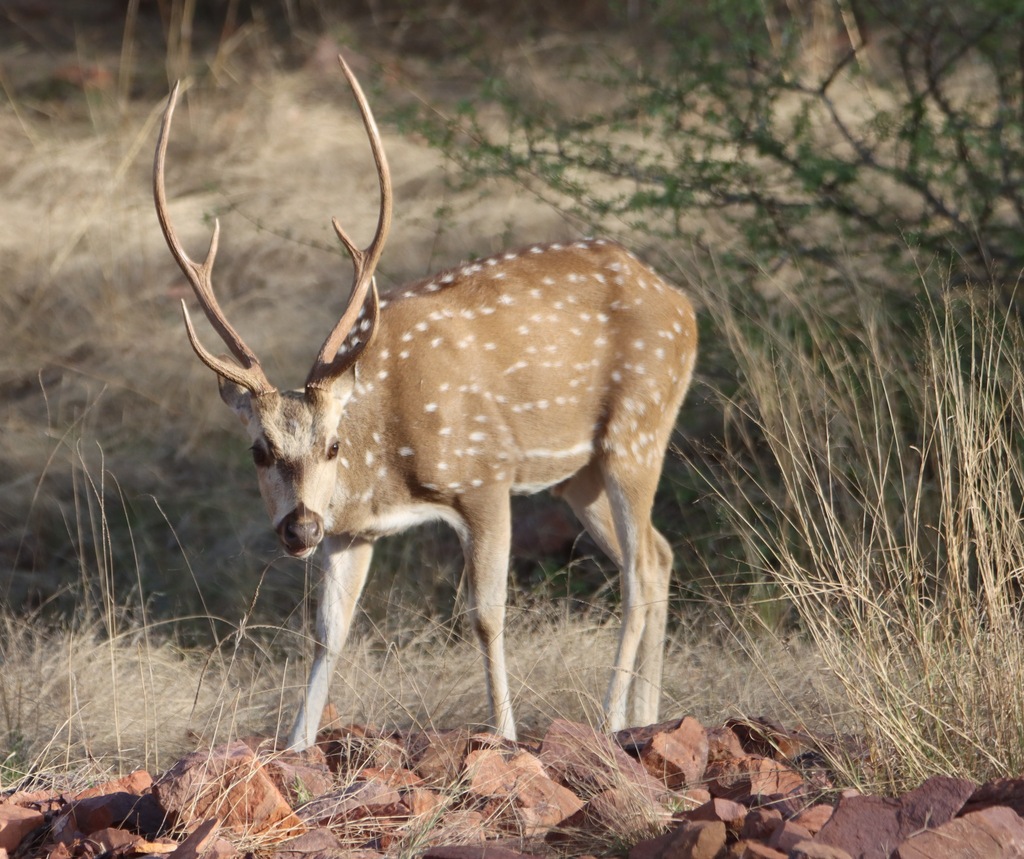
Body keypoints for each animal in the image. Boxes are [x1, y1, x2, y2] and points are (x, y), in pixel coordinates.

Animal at [153, 56, 698, 752]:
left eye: (333, 444)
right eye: (258, 450)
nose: (299, 527)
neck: (388, 467)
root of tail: (680, 300)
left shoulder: (485, 475)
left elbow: (487, 614)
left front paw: (505, 734)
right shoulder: (352, 532)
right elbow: (327, 634)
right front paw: (295, 746)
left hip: (639, 427)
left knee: (638, 569)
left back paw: (609, 719)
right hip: (580, 474)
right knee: (660, 554)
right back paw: (645, 716)